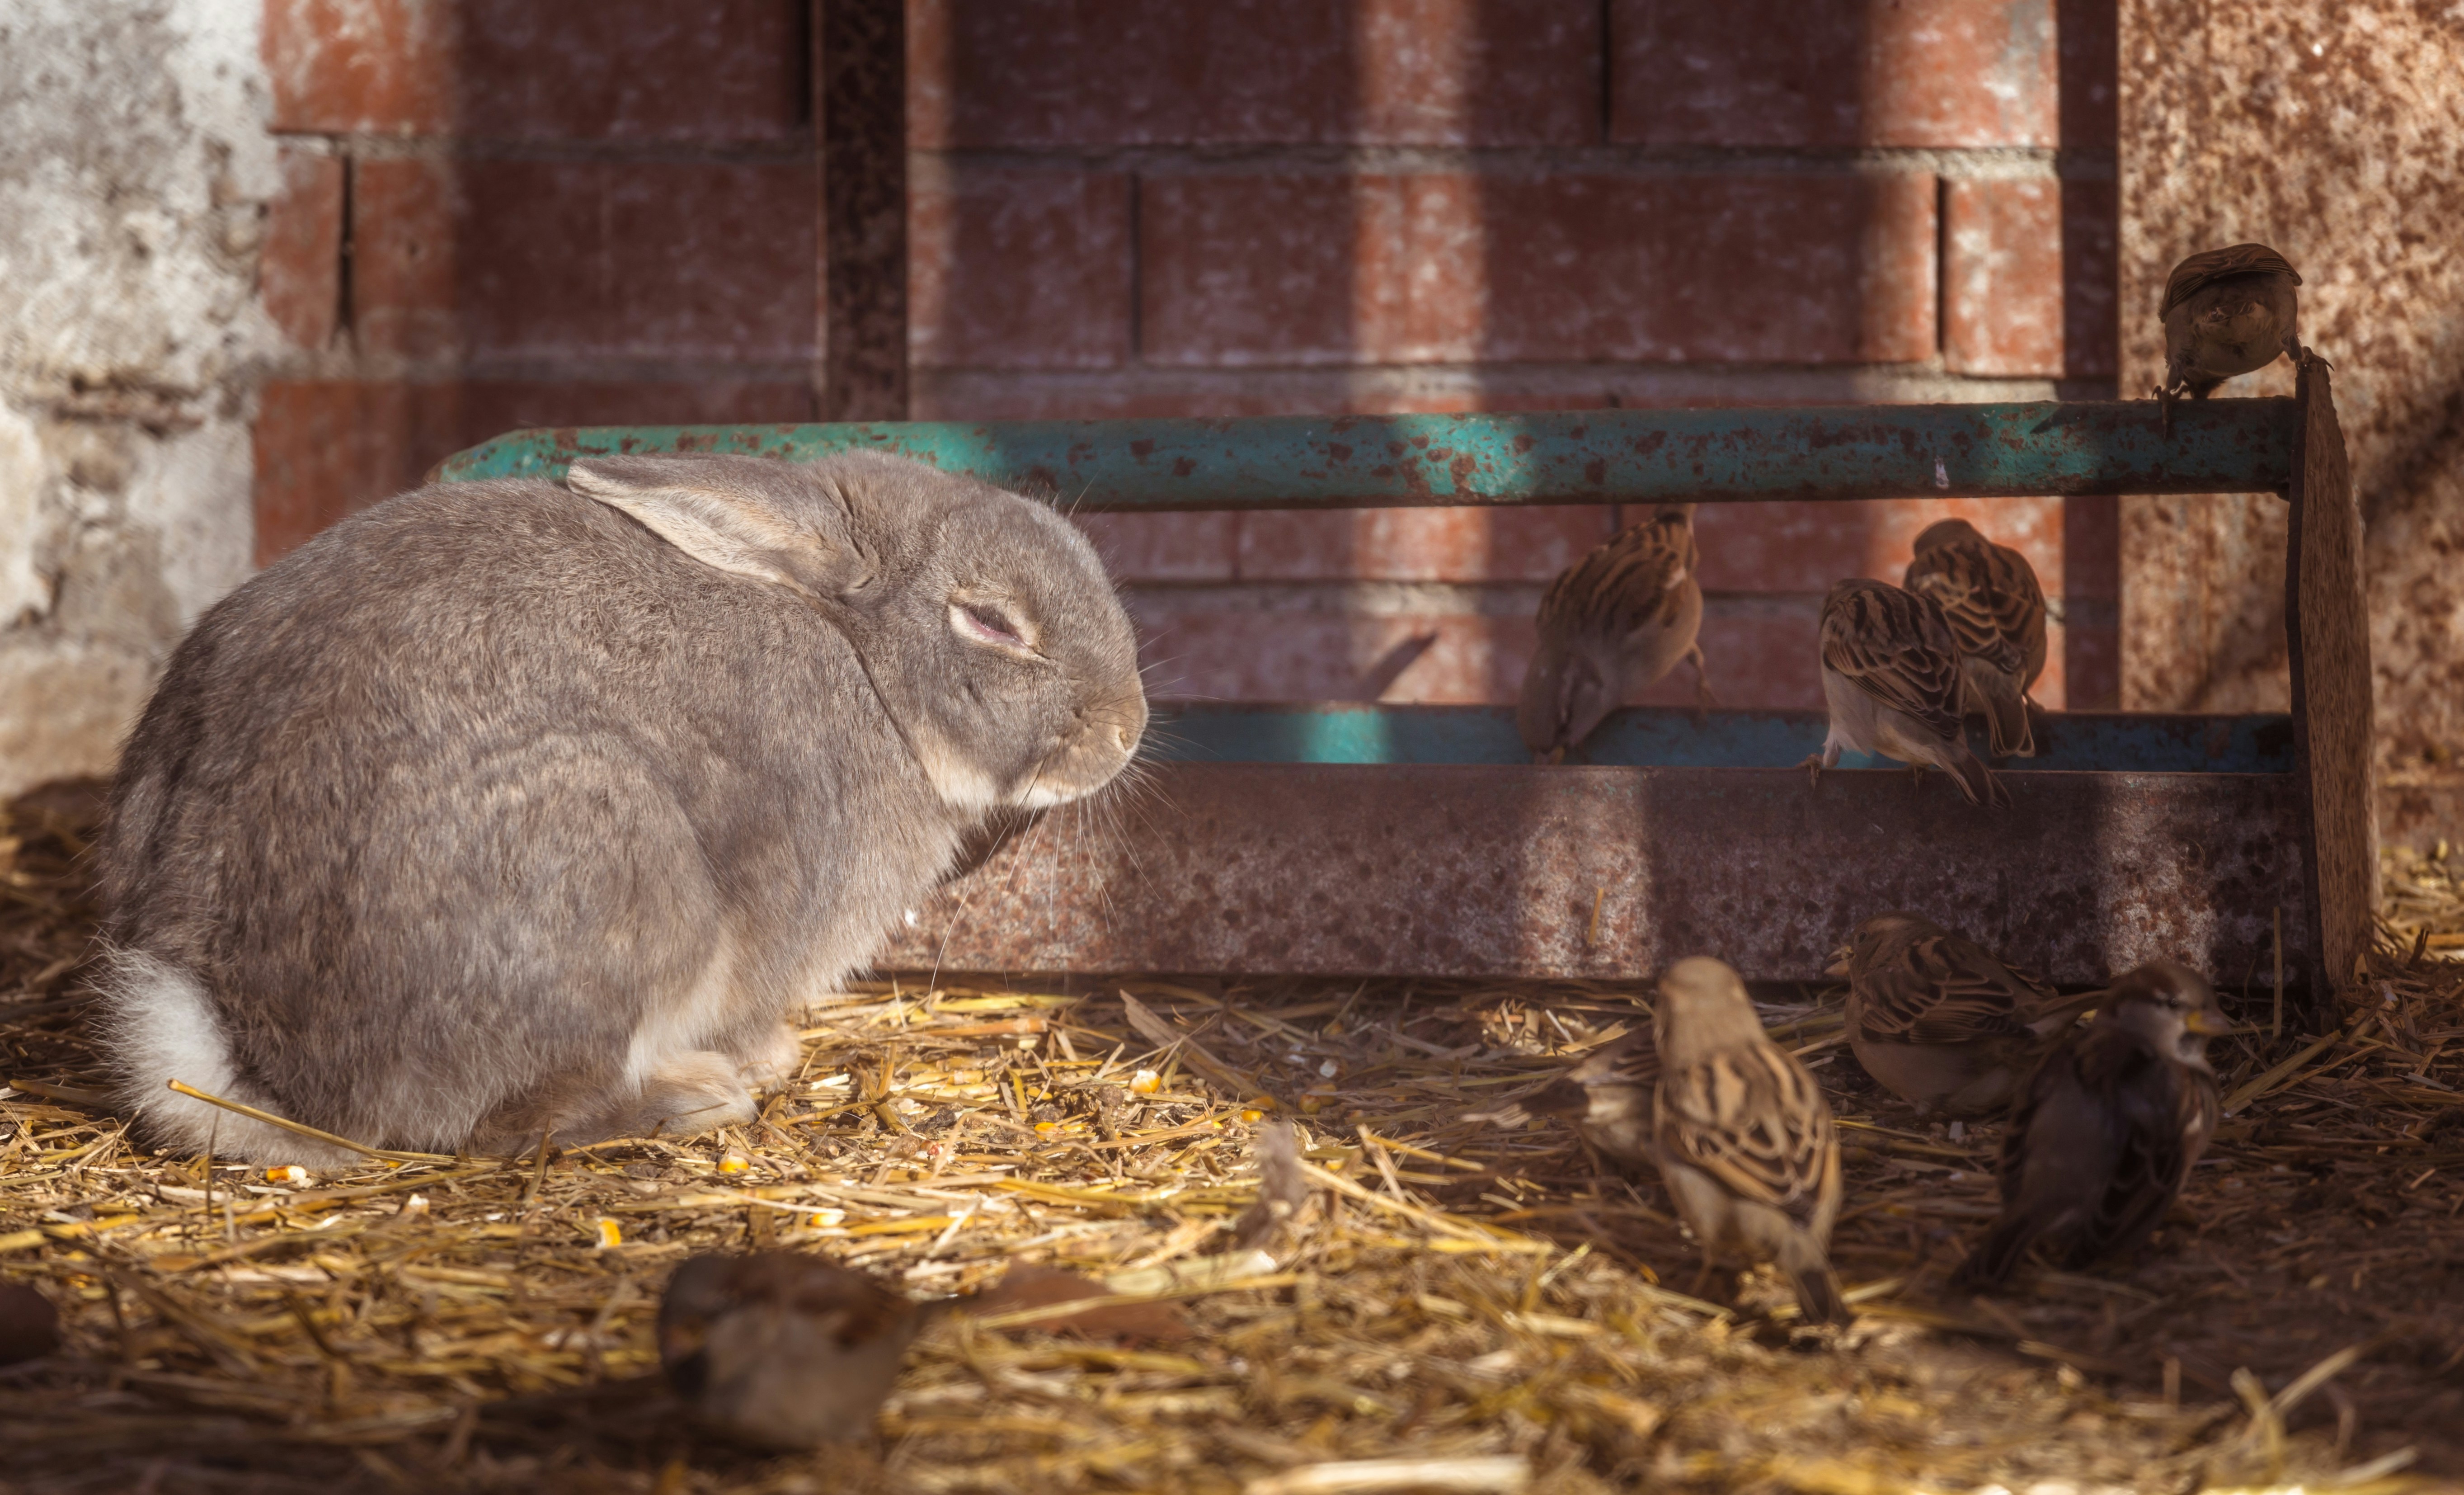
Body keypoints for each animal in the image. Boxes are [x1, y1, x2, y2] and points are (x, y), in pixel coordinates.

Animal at [96, 451, 1147, 1164]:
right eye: (991, 621)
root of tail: (249, 1049)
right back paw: (696, 1097)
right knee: (505, 1122)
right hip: (620, 874)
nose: (1127, 728)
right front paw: (768, 1053)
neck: (862, 662)